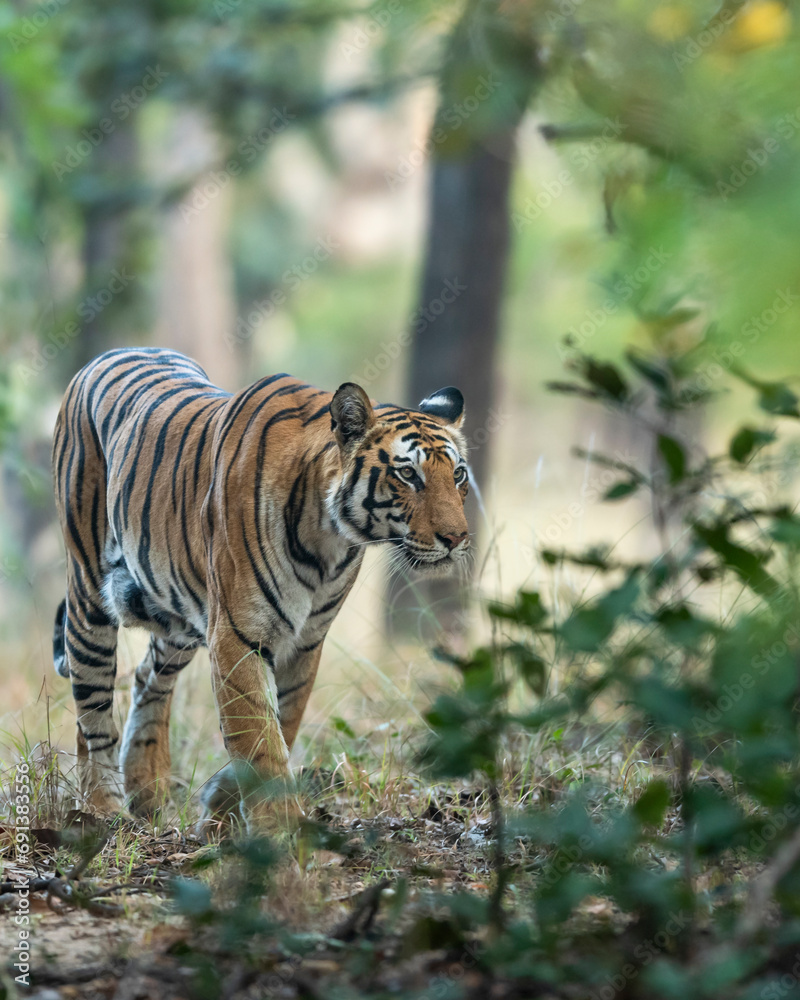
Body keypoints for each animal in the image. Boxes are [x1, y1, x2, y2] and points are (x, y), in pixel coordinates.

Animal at [51, 347, 470, 832]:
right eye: (408, 475)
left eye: (458, 475)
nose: (457, 538)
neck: (329, 540)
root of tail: (106, 355)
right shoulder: (237, 634)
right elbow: (258, 733)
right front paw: (280, 828)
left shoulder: (304, 641)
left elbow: (281, 724)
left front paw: (223, 805)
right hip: (90, 596)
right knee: (92, 708)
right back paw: (102, 809)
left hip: (178, 614)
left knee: (147, 679)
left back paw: (146, 791)